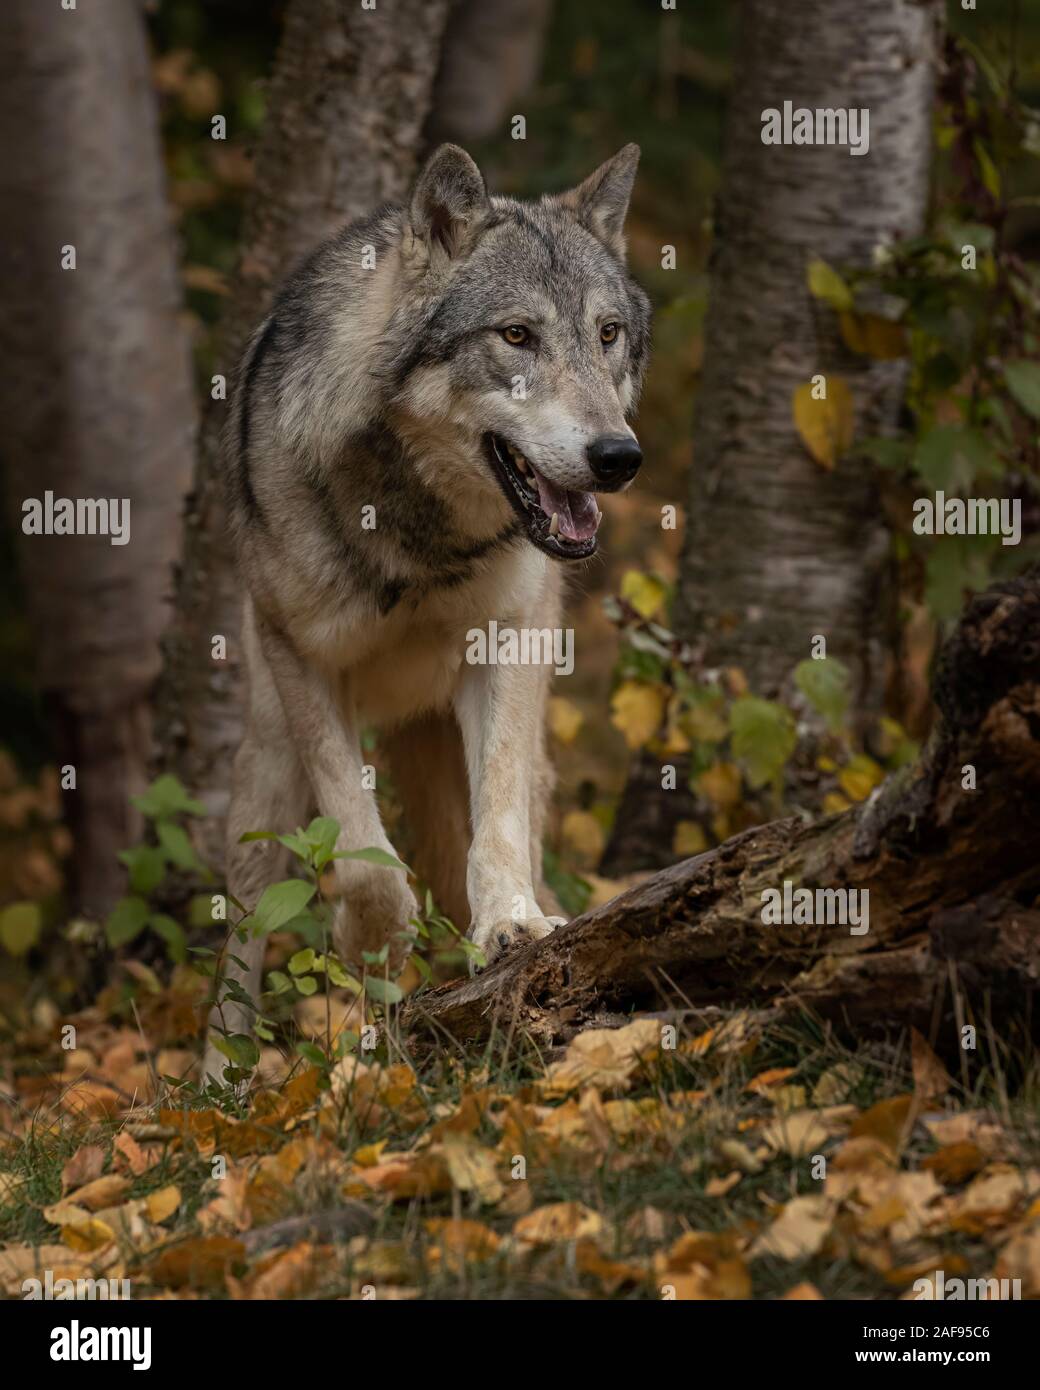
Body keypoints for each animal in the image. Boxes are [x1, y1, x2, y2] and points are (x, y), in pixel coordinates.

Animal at [203, 142, 651, 1079]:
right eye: (516, 335)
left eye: (607, 334)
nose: (618, 457)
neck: (422, 540)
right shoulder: (303, 660)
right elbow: (366, 861)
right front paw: (373, 951)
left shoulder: (513, 643)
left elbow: (499, 823)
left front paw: (513, 925)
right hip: (266, 766)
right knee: (247, 925)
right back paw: (221, 1077)